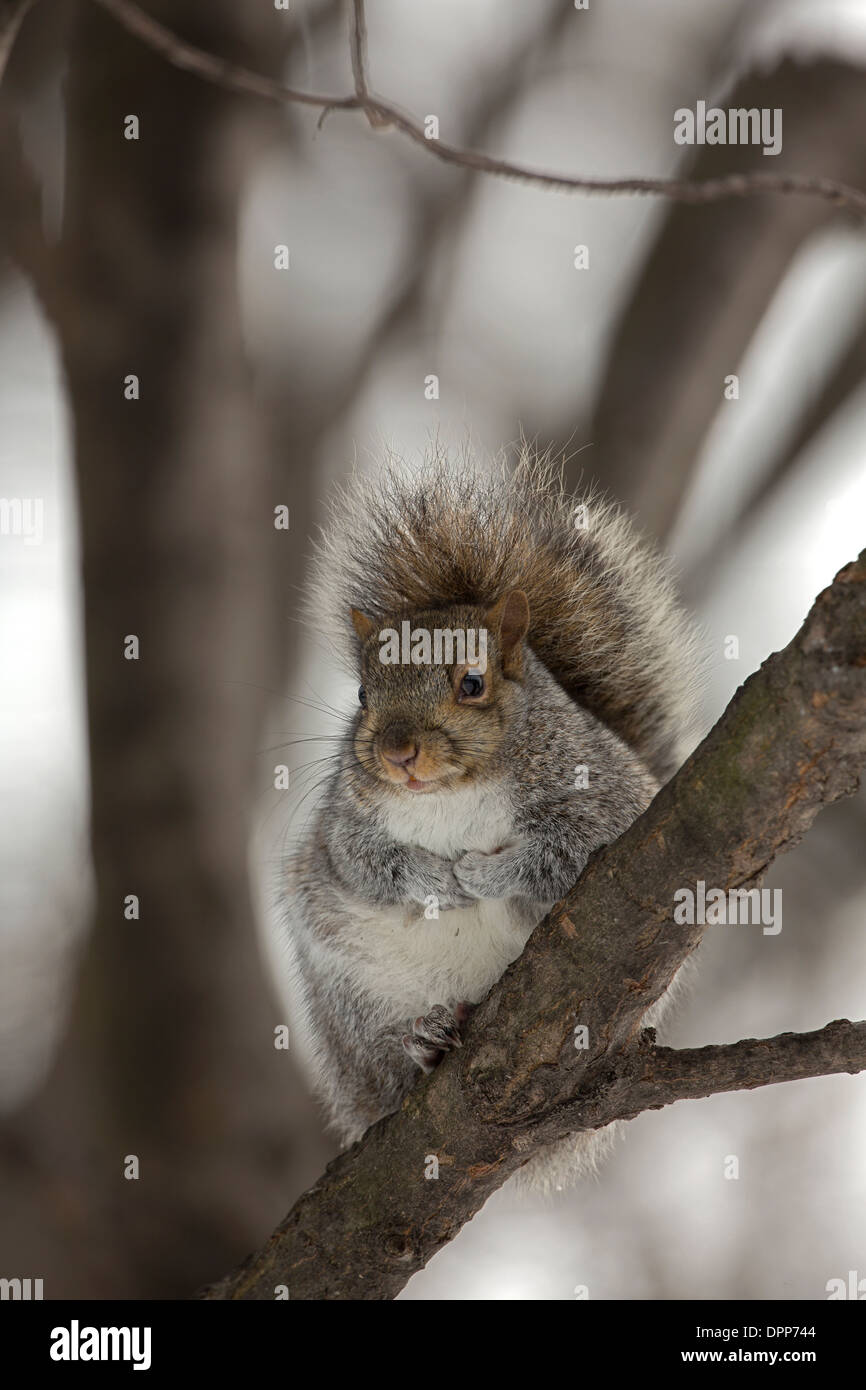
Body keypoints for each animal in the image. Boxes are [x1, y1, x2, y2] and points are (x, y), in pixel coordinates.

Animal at [284, 450, 700, 1191]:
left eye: (472, 684)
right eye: (362, 694)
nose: (397, 753)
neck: (450, 792)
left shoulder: (608, 804)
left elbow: (567, 853)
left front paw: (482, 875)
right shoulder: (344, 827)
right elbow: (365, 865)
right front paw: (435, 881)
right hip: (352, 1000)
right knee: (383, 1059)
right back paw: (420, 1042)